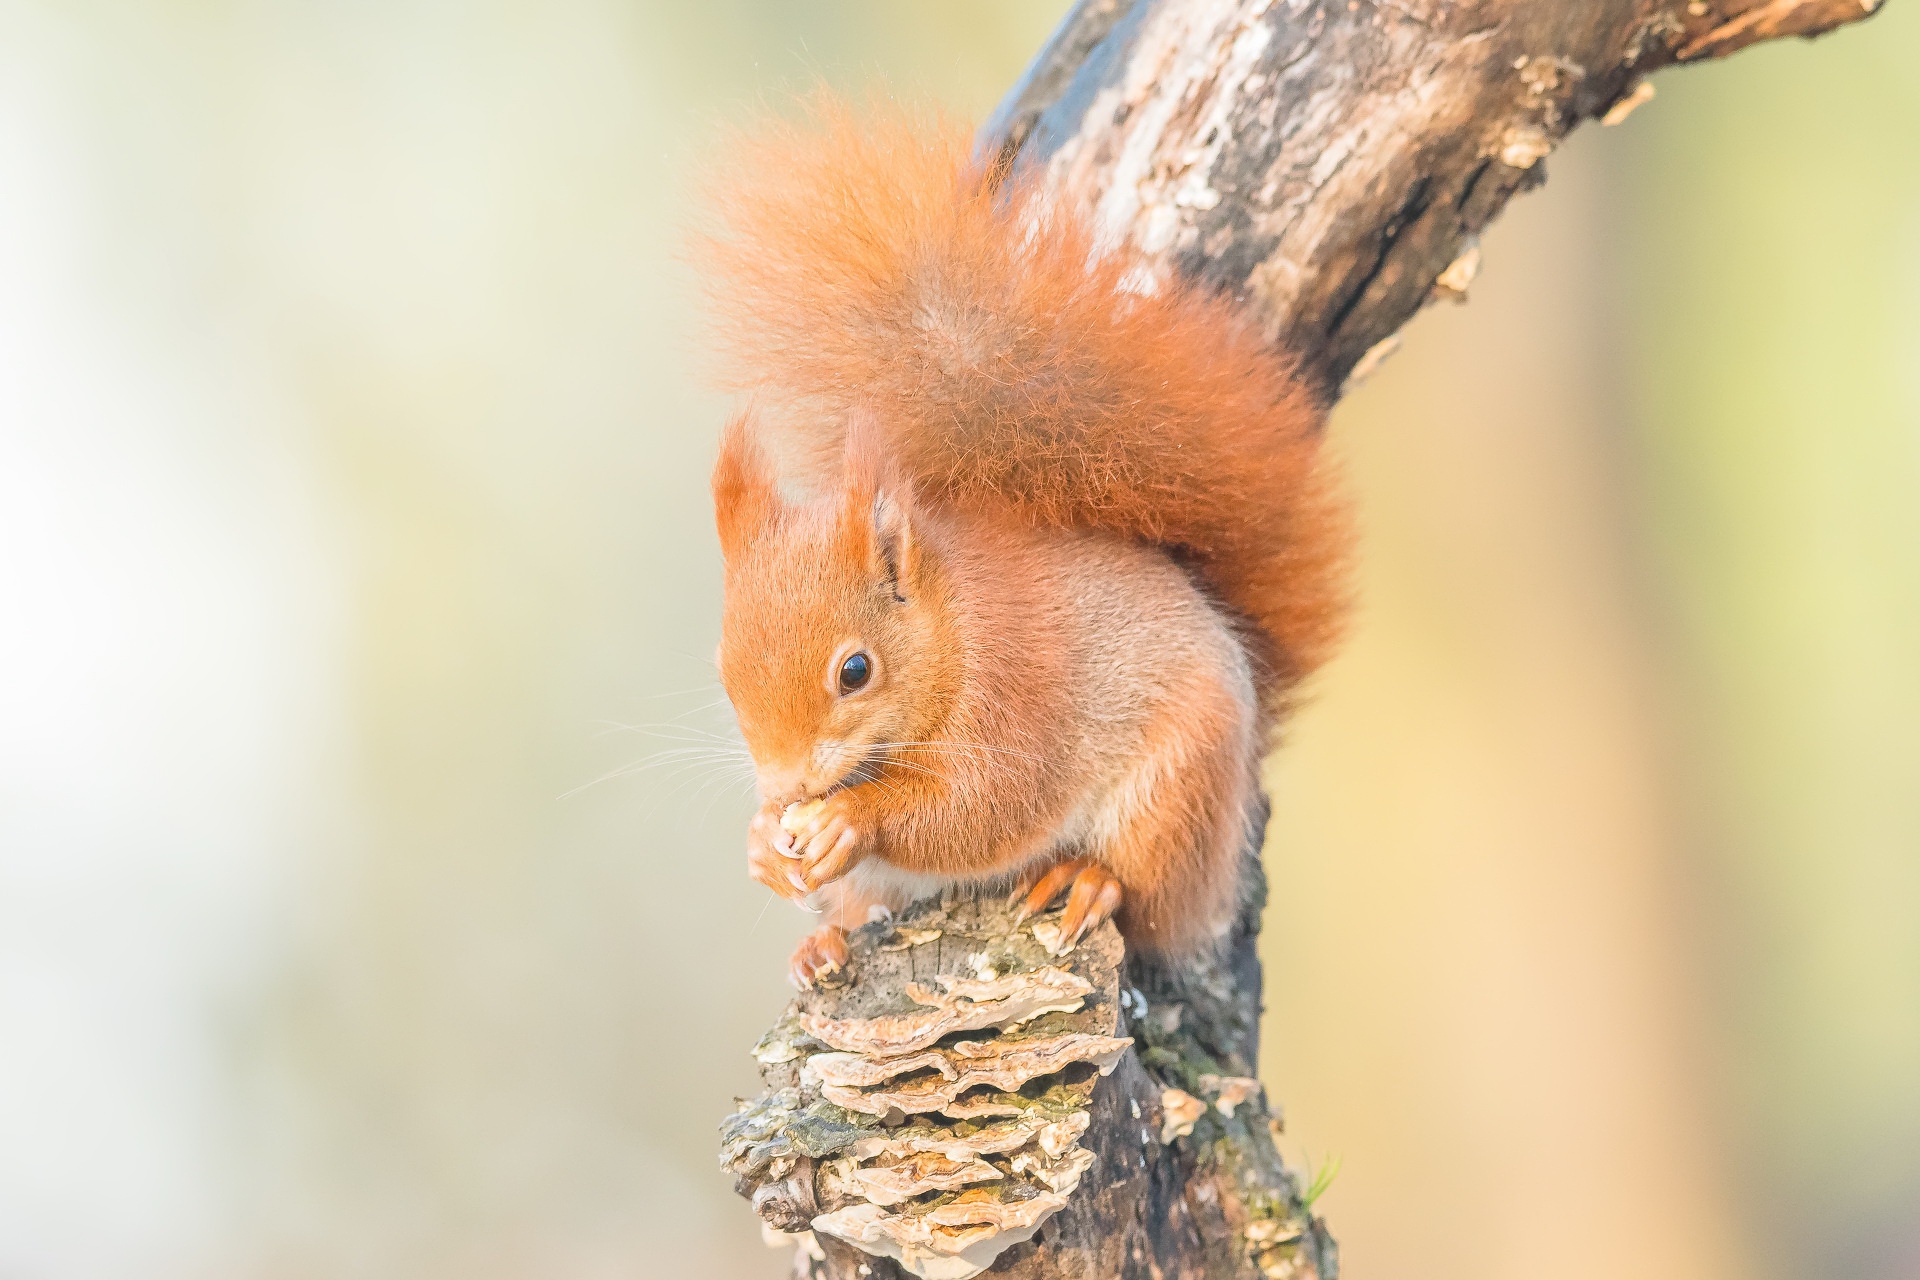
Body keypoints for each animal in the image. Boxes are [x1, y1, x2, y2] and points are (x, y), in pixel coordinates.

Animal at [696, 97, 1350, 988]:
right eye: (723, 673)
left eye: (855, 671)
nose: (788, 783)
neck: (951, 630)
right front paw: (766, 843)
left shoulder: (1017, 698)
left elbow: (974, 810)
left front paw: (848, 819)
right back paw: (824, 941)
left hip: (1174, 791)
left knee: (1148, 899)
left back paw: (1085, 879)